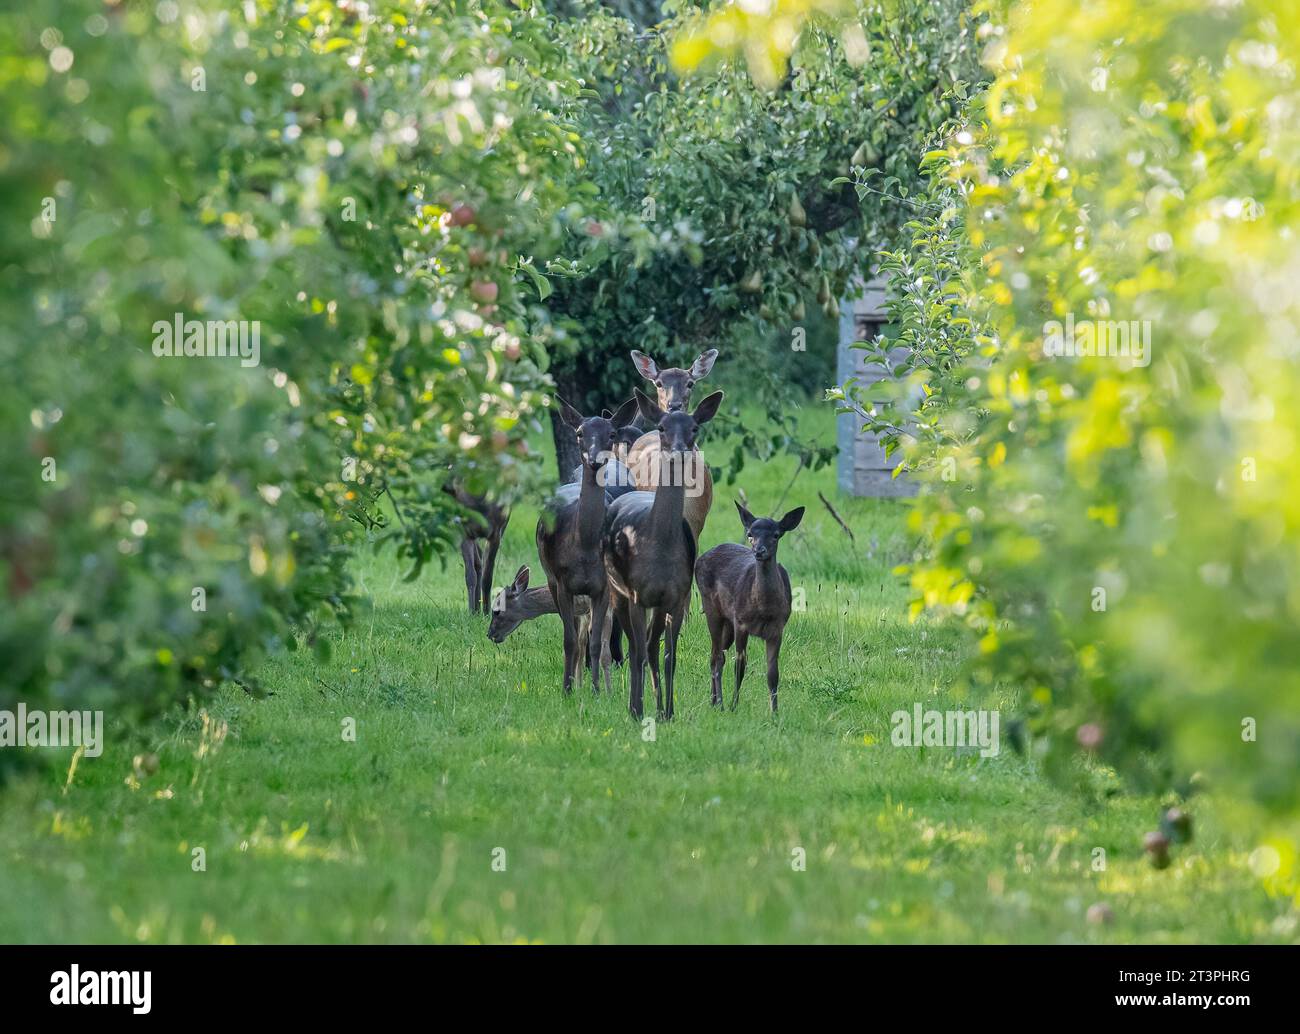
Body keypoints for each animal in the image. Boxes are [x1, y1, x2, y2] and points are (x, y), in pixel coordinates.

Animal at [442, 482, 510, 615]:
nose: (447, 487)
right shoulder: (464, 531)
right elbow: (470, 574)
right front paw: (471, 611)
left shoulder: (496, 533)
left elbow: (487, 577)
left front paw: (487, 612)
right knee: (478, 561)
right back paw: (476, 610)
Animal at [536, 395, 640, 695]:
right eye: (580, 433)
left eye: (611, 433)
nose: (594, 460)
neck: (582, 549)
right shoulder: (562, 582)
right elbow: (569, 639)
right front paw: (567, 689)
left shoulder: (602, 586)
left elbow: (594, 641)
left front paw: (595, 690)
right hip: (550, 578)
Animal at [600, 388, 724, 720]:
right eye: (662, 427)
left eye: (694, 428)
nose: (679, 450)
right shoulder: (637, 594)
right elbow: (639, 650)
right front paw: (637, 708)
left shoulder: (676, 597)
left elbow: (668, 654)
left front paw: (667, 711)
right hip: (617, 591)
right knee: (635, 643)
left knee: (652, 645)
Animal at [695, 501, 805, 714]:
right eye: (750, 534)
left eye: (776, 534)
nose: (759, 551)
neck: (764, 610)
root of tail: (701, 558)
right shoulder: (741, 623)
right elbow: (740, 667)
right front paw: (733, 705)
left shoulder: (777, 629)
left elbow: (773, 673)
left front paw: (774, 712)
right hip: (712, 608)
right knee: (716, 656)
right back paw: (720, 703)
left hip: (727, 622)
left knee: (717, 654)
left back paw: (713, 701)